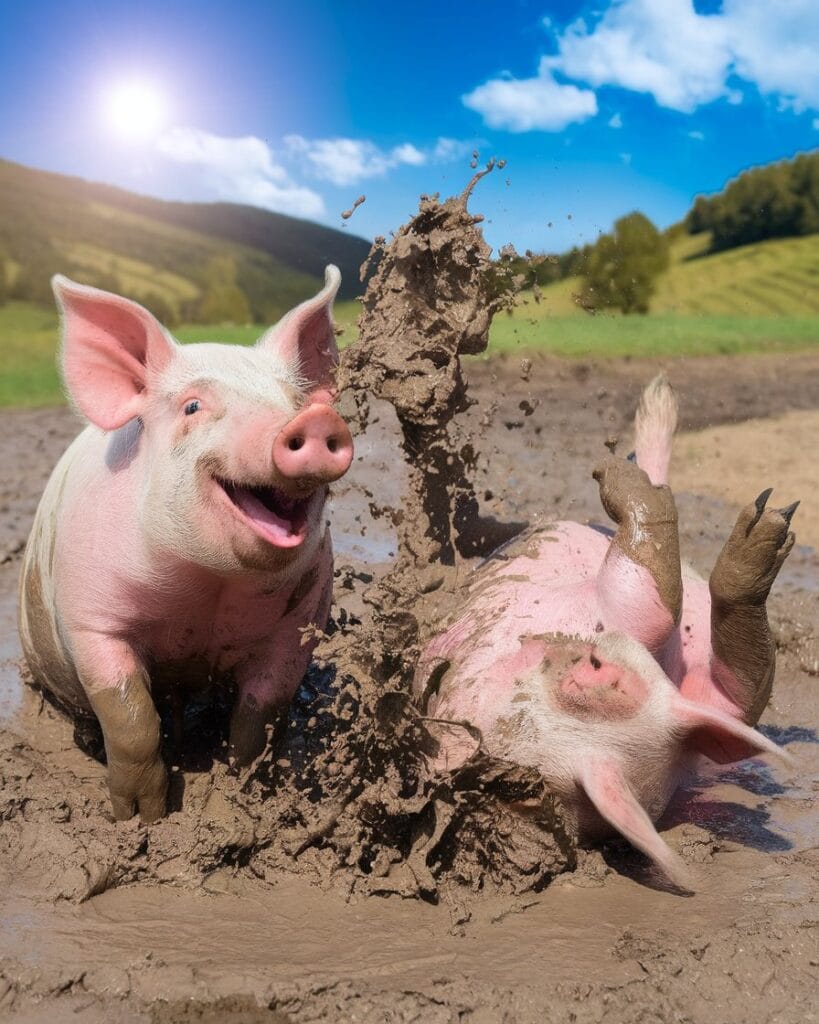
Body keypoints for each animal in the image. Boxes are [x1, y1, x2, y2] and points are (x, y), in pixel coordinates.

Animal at [18, 268, 353, 822]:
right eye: (193, 406)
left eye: (295, 401)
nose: (314, 420)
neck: (208, 586)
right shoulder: (89, 618)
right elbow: (130, 718)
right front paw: (141, 818)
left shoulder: (299, 625)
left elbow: (259, 718)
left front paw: (243, 793)